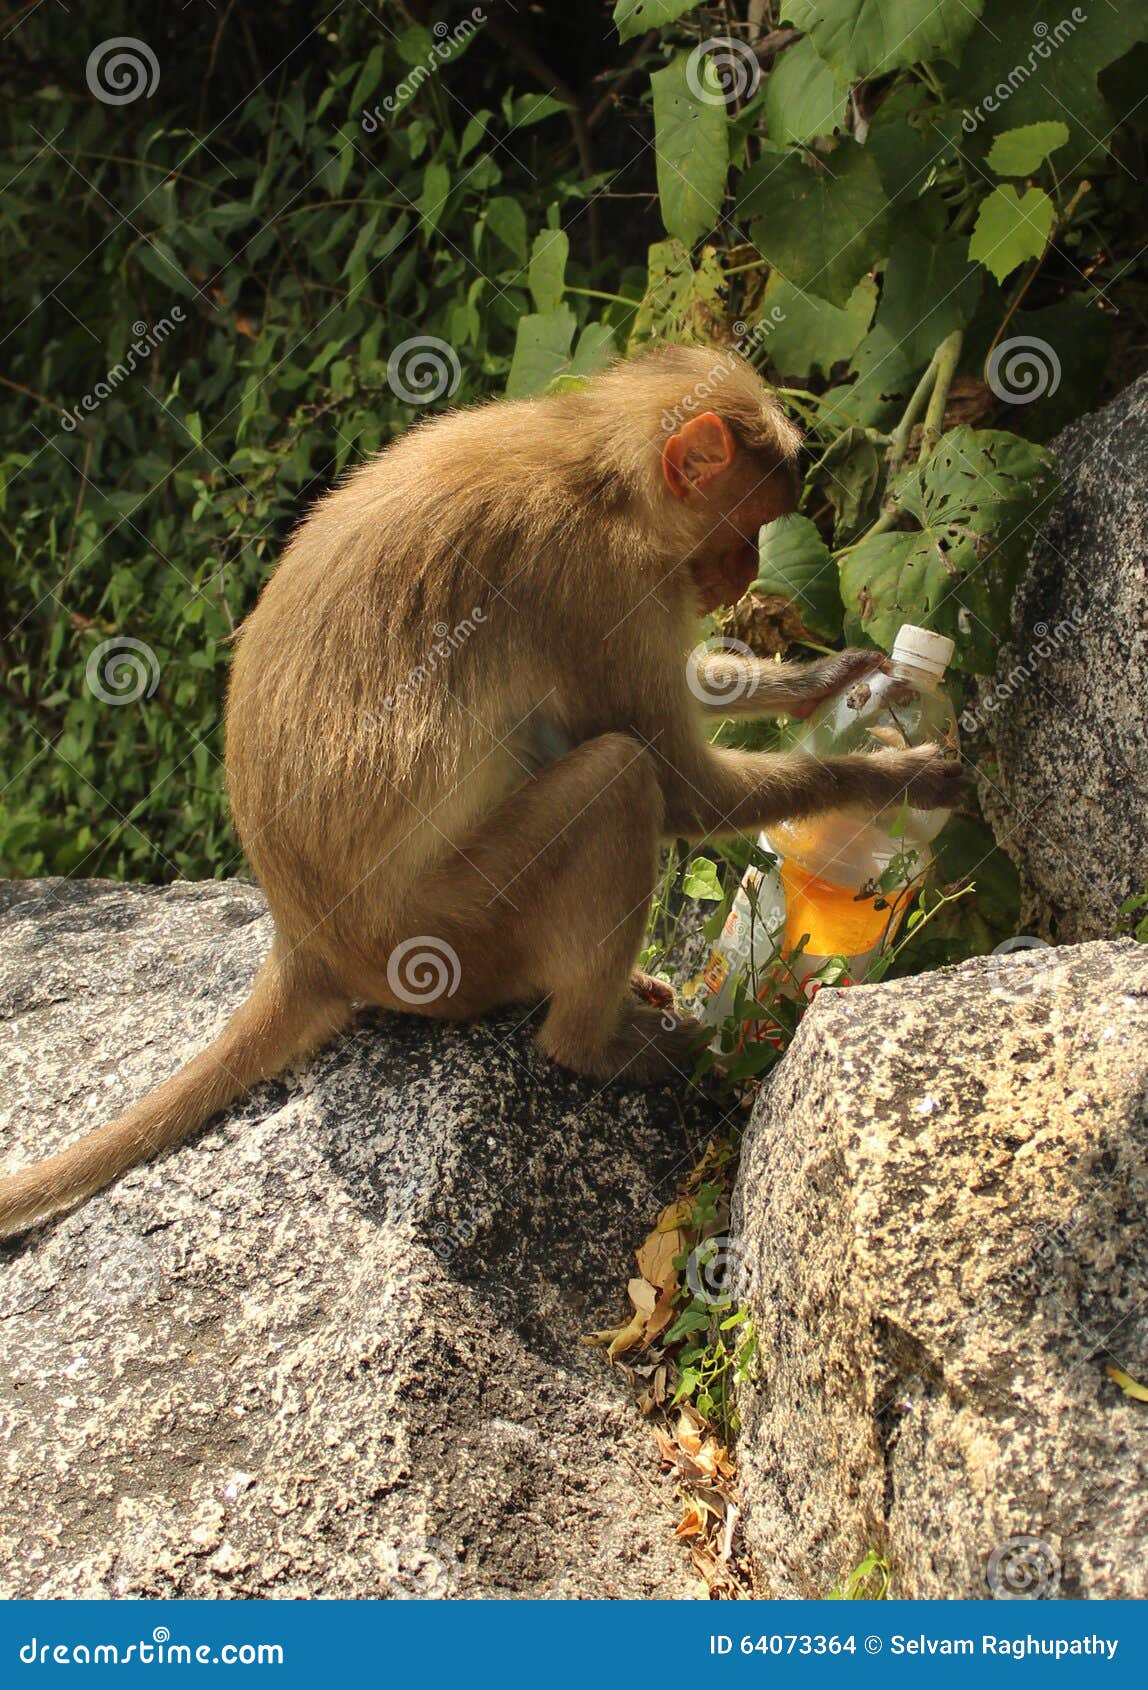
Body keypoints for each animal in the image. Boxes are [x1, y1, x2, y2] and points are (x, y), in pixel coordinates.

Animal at [0, 345, 962, 1238]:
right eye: (750, 521)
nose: (742, 576)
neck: (597, 475)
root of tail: (305, 943)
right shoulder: (605, 581)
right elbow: (686, 790)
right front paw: (894, 778)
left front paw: (828, 681)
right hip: (451, 939)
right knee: (618, 780)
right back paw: (592, 1045)